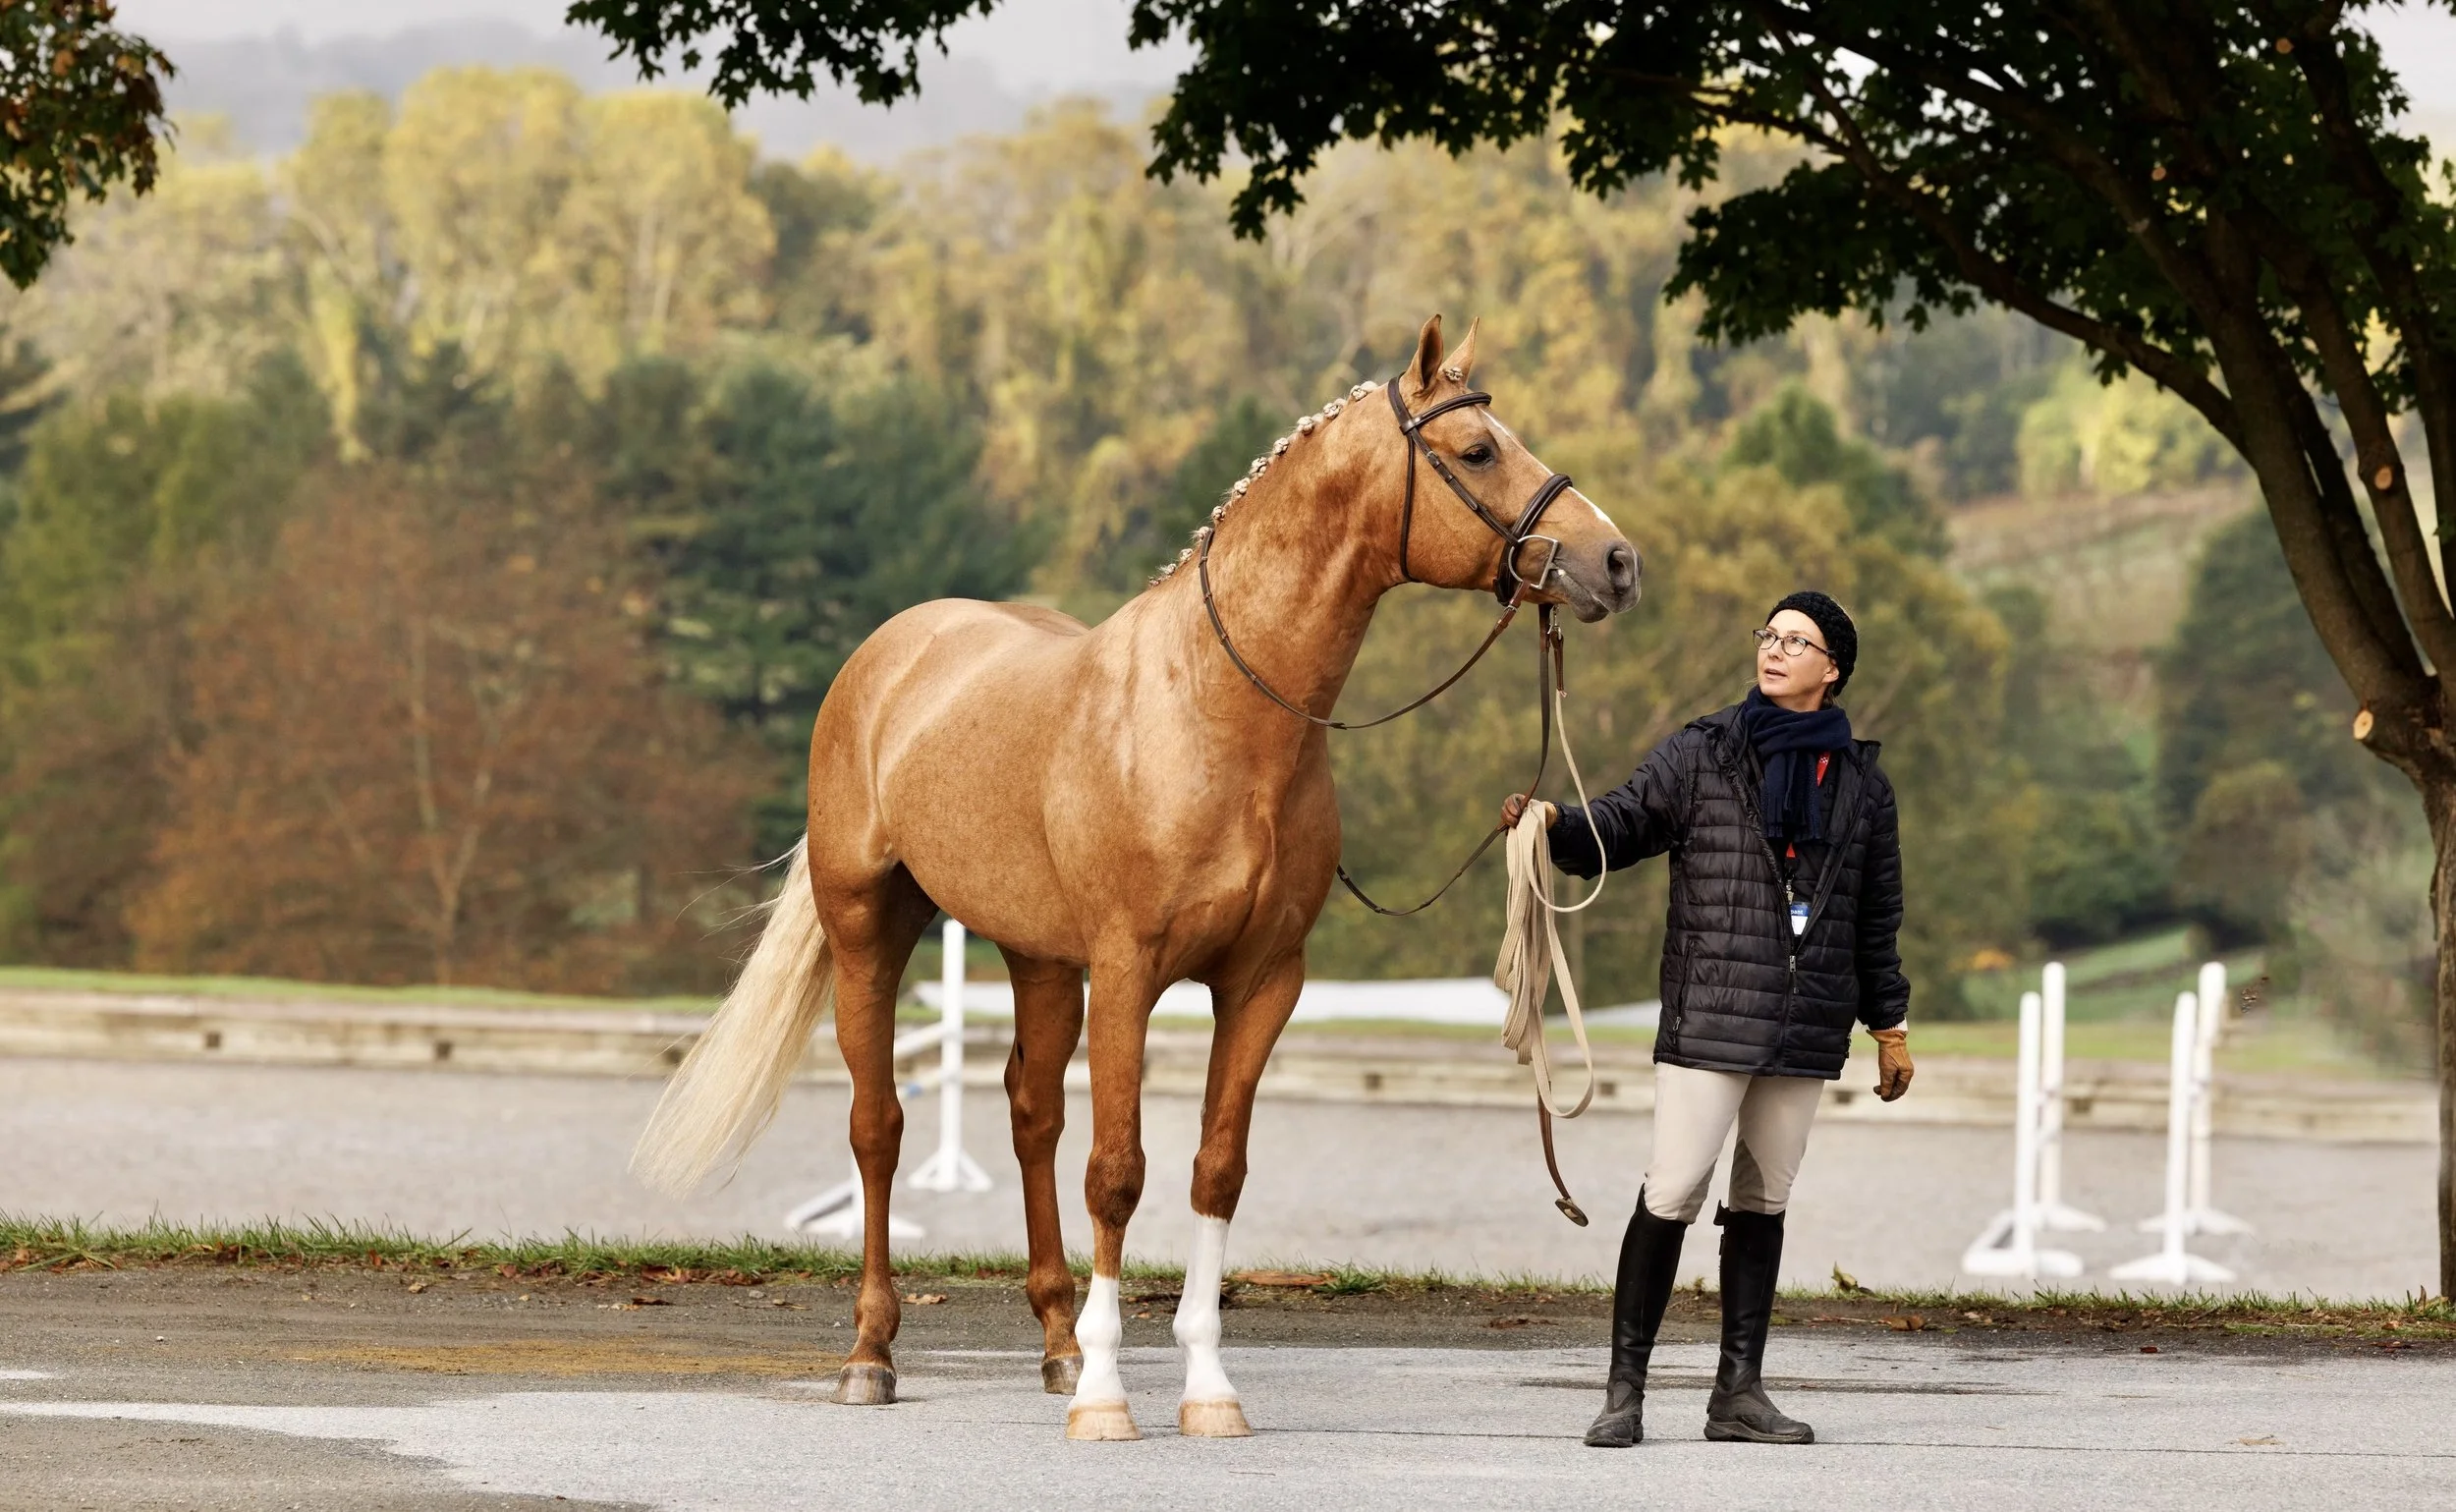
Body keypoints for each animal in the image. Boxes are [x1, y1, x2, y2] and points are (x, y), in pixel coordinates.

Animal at [634, 314, 1641, 1440]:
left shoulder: (1261, 982)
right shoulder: (1126, 972)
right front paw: (1109, 1401)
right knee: (879, 1127)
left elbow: (1214, 1170)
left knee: (1031, 1115)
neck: (1213, 710)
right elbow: (1117, 1173)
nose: (1614, 560)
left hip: (1034, 957)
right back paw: (873, 1354)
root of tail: (889, 652)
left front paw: (1203, 1388)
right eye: (1476, 451)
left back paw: (1057, 1345)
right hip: (870, 929)